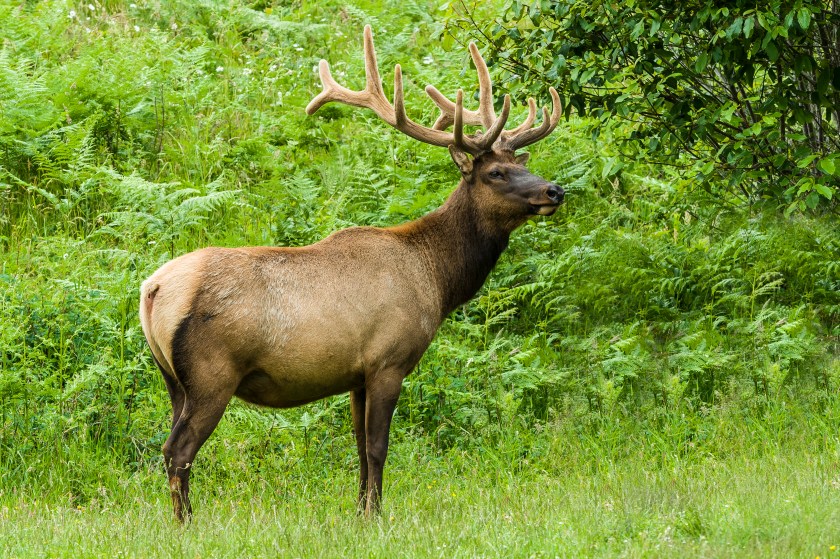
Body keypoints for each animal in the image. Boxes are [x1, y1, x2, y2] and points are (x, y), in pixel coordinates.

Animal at [139, 25, 564, 522]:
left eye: (523, 163)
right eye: (496, 172)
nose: (554, 190)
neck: (437, 280)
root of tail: (153, 289)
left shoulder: (356, 374)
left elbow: (359, 448)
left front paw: (360, 510)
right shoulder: (388, 359)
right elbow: (379, 447)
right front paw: (375, 515)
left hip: (172, 379)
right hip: (212, 373)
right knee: (178, 450)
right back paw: (187, 523)